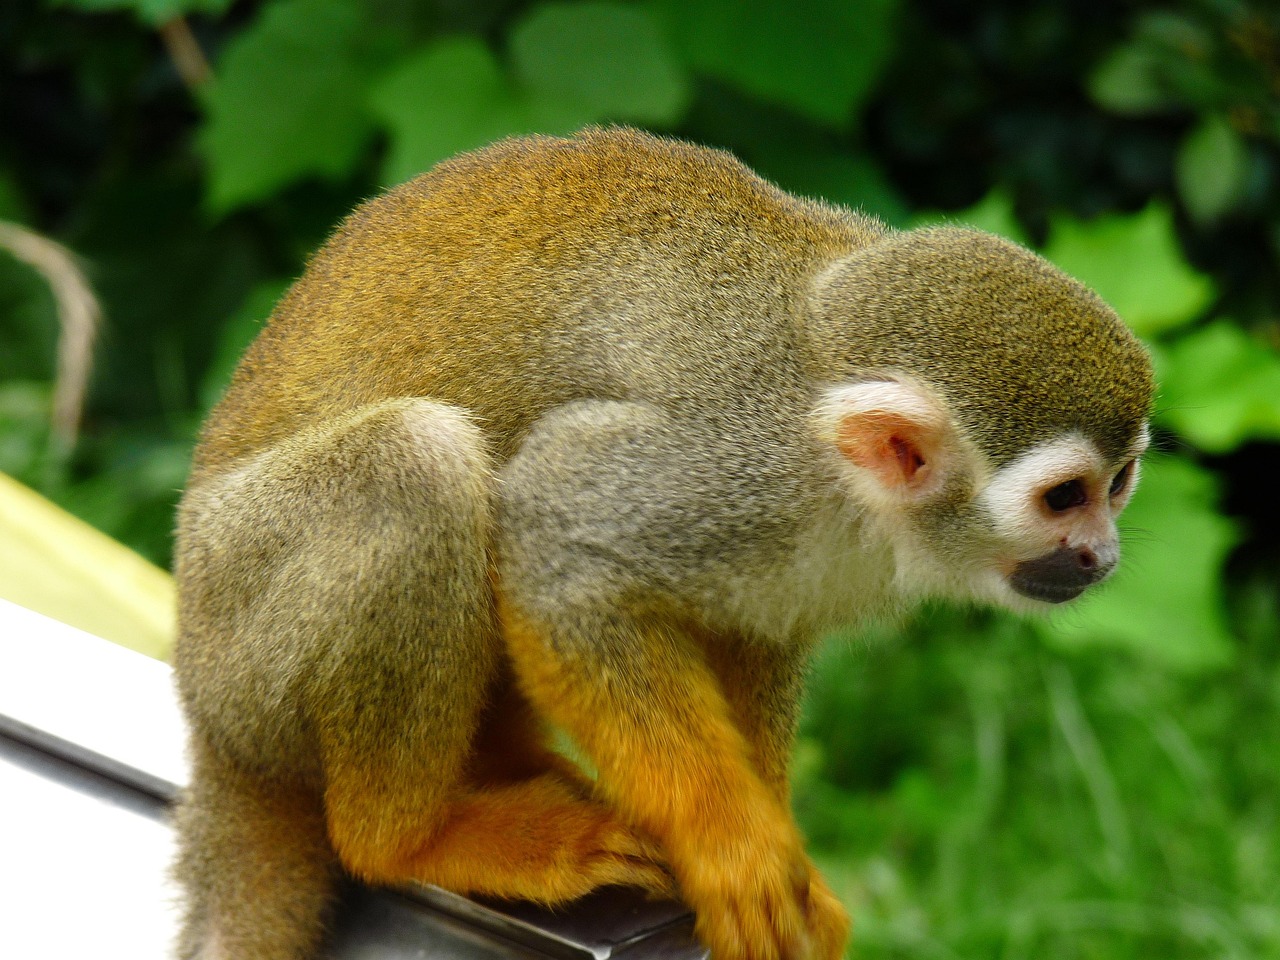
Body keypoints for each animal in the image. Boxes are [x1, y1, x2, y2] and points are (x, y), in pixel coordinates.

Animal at [171, 126, 1154, 960]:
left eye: (1120, 484)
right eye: (1063, 497)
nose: (1102, 557)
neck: (846, 486)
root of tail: (204, 708)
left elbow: (751, 628)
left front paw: (785, 862)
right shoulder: (731, 469)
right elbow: (555, 533)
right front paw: (734, 847)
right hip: (244, 634)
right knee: (412, 466)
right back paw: (414, 837)